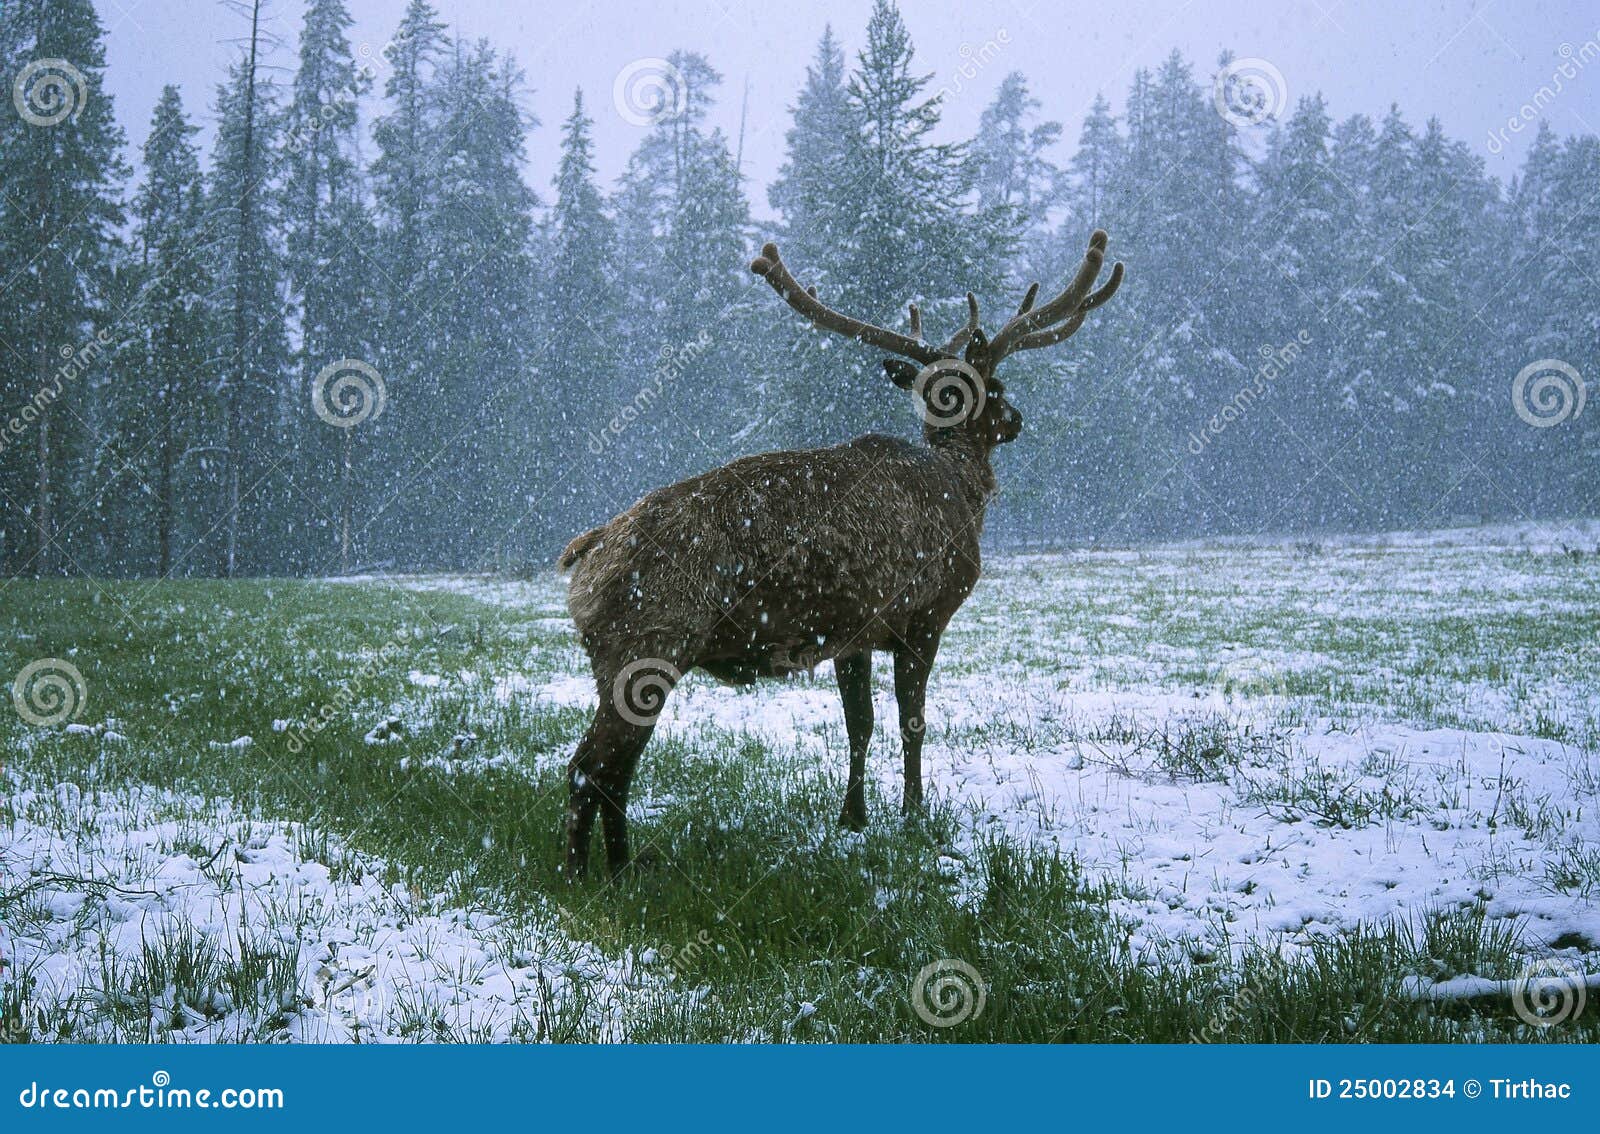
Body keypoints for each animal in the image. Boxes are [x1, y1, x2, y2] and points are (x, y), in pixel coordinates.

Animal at [557, 230, 1124, 879]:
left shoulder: (852, 632)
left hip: (623, 658)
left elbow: (859, 723)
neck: (962, 492)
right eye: (998, 387)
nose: (1017, 419)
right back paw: (583, 880)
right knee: (590, 767)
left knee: (611, 770)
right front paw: (913, 815)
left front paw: (852, 817)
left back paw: (620, 870)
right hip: (651, 640)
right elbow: (910, 720)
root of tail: (586, 555)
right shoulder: (923, 614)